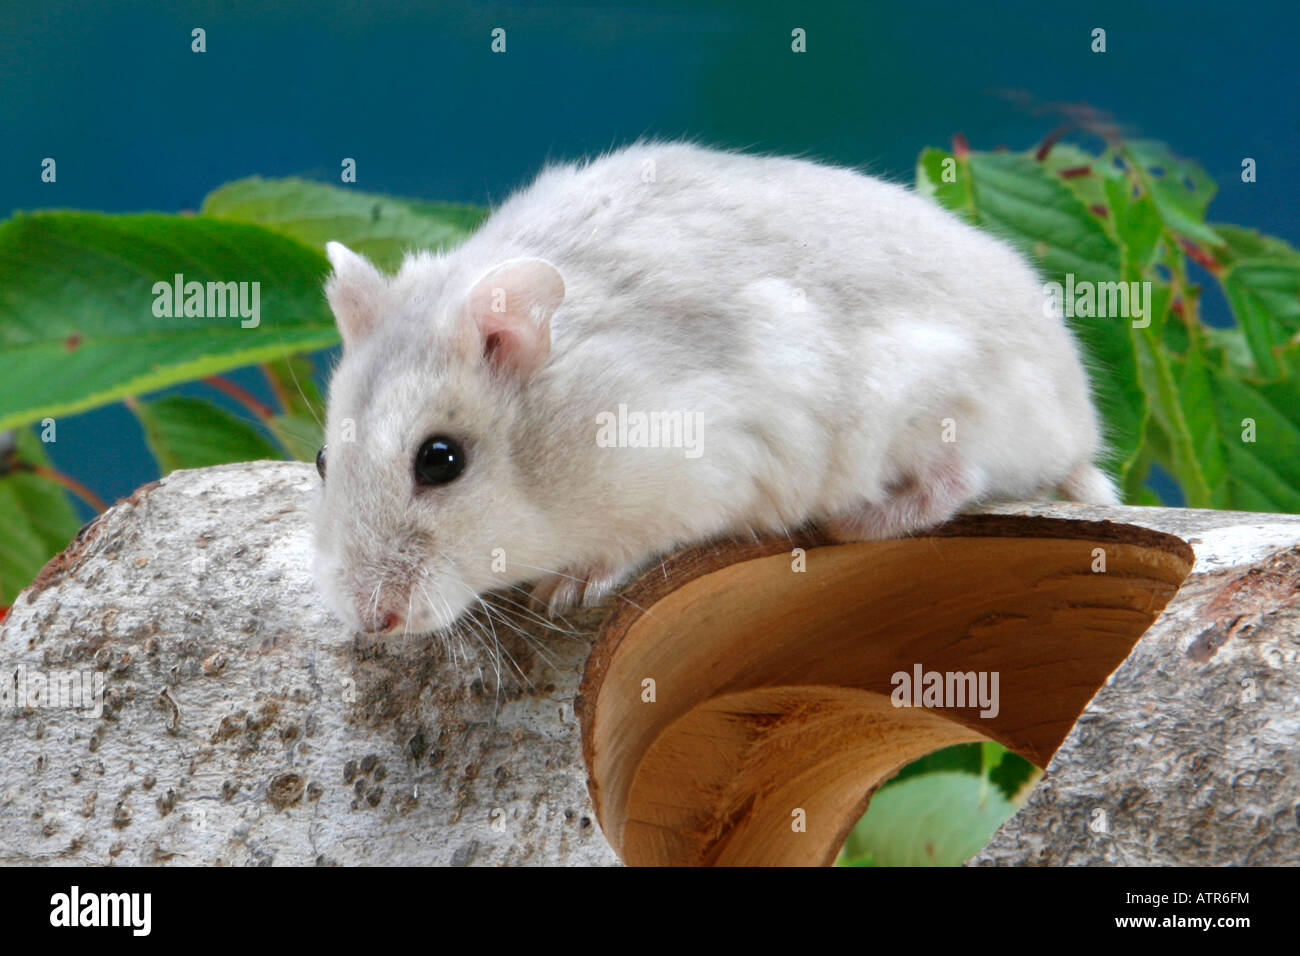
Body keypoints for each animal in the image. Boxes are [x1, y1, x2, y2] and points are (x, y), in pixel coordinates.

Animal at [312, 141, 1117, 635]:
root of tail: (1075, 428)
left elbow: (624, 549)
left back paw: (857, 523)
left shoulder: (692, 473)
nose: (369, 622)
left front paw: (563, 591)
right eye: (322, 462)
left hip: (930, 408)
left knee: (953, 482)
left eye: (440, 461)